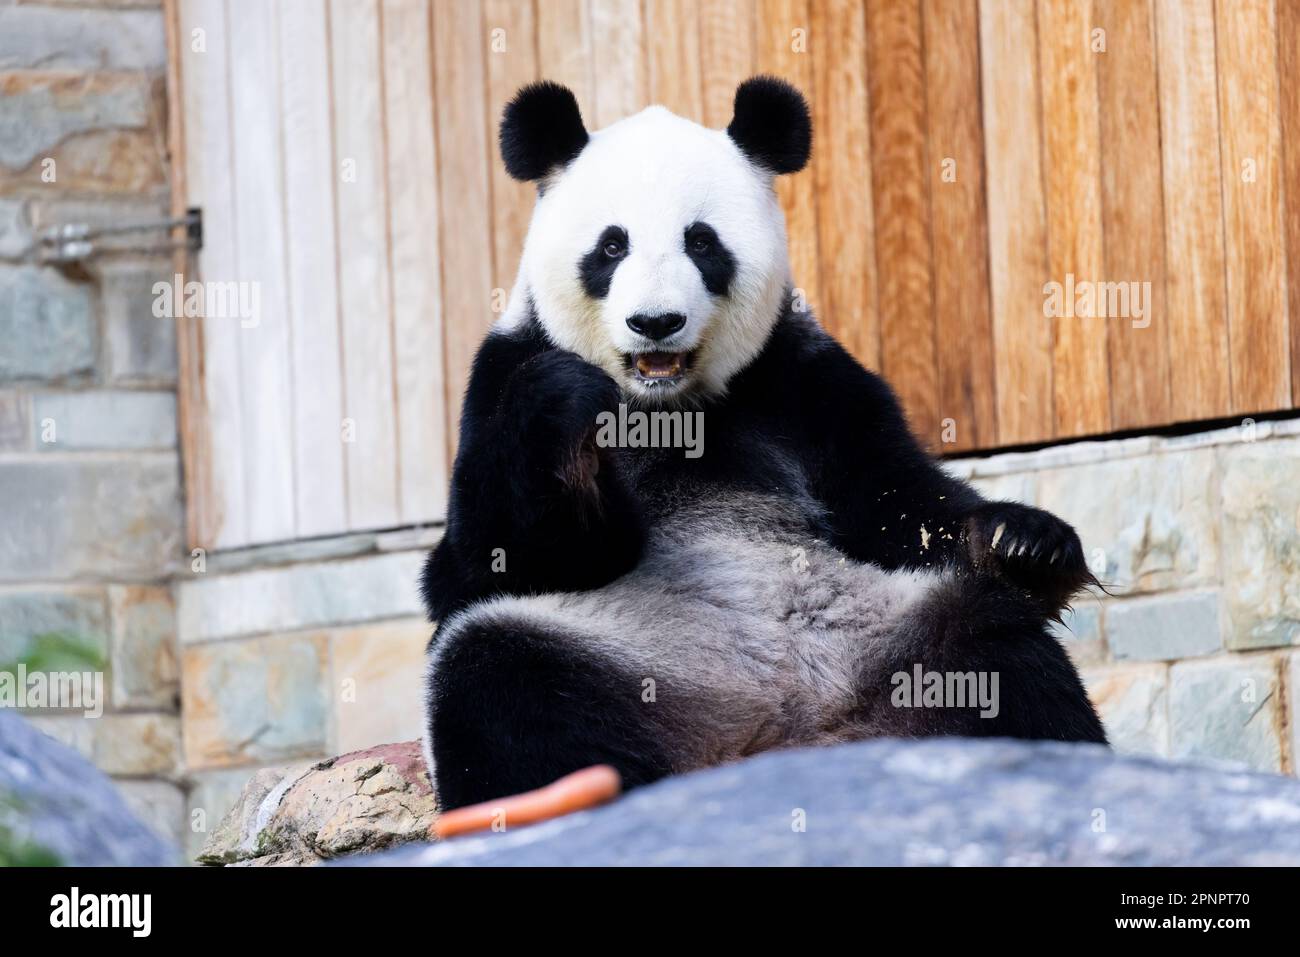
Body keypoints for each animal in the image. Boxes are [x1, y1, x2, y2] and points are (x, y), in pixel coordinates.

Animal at [420, 76, 1106, 812]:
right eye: (611, 248)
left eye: (702, 243)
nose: (655, 322)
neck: (668, 405)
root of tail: (777, 739)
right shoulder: (499, 374)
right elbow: (487, 561)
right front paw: (564, 400)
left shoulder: (802, 380)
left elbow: (895, 497)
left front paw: (1026, 539)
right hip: (612, 653)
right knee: (498, 677)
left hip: (901, 635)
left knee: (1001, 653)